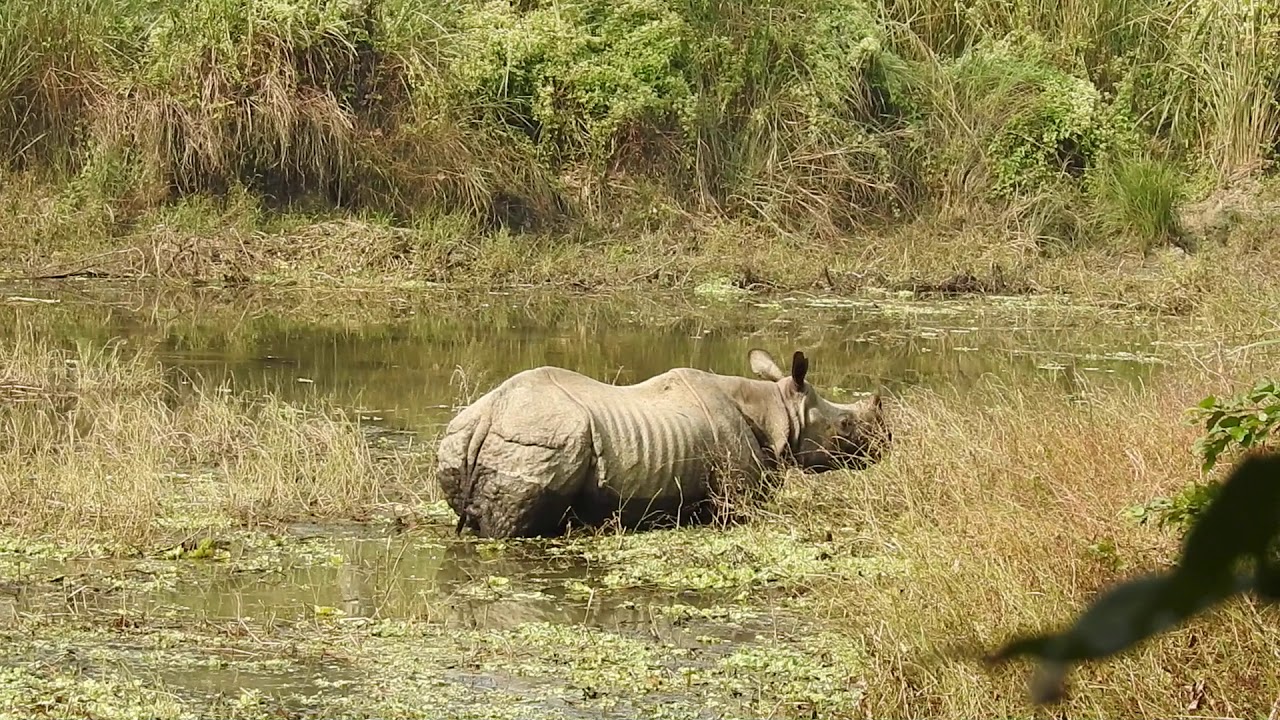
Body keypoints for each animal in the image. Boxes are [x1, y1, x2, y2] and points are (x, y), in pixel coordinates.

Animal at [435, 348, 892, 539]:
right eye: (846, 425)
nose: (886, 443)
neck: (775, 408)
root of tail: (489, 417)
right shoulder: (736, 493)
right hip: (539, 436)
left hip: (459, 438)